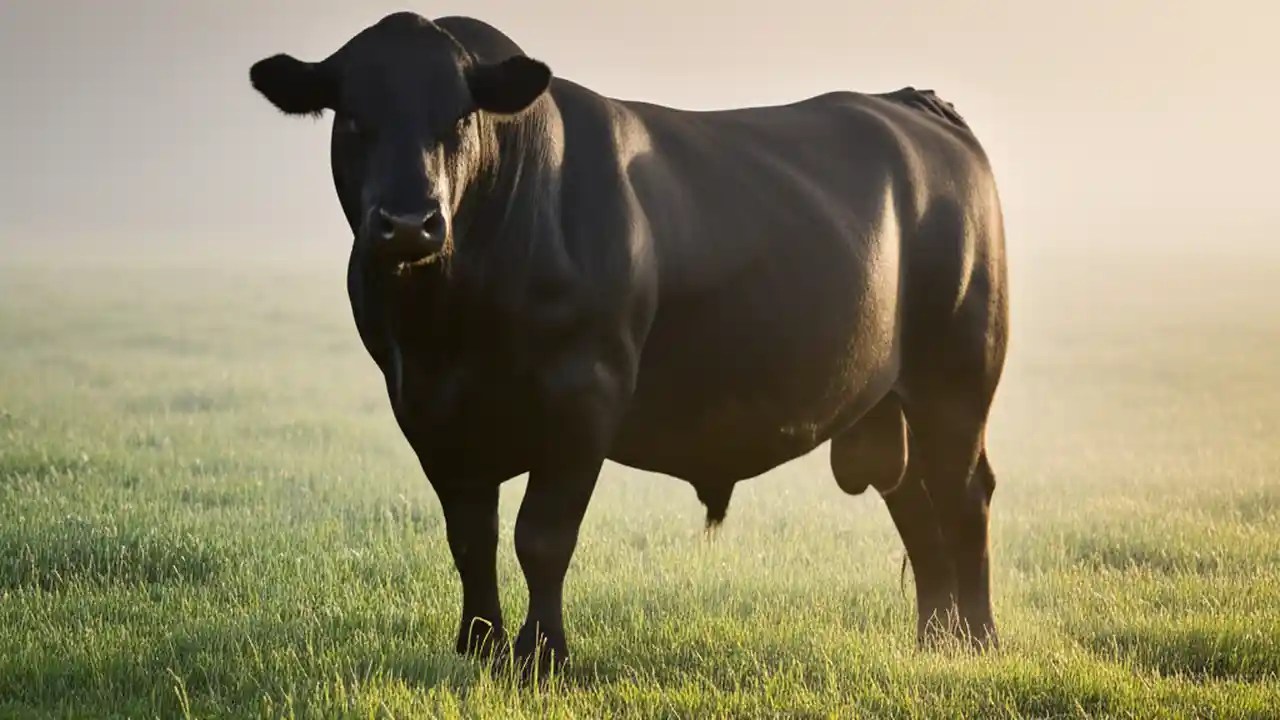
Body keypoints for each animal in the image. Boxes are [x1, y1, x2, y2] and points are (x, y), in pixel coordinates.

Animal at [249, 12, 1009, 673]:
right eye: (353, 117)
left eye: (460, 117)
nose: (410, 222)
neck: (452, 316)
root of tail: (909, 103)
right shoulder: (426, 407)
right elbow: (470, 536)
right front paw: (479, 647)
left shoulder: (585, 394)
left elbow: (542, 536)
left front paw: (541, 656)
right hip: (887, 401)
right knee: (913, 500)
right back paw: (934, 639)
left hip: (958, 373)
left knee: (962, 492)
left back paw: (978, 639)